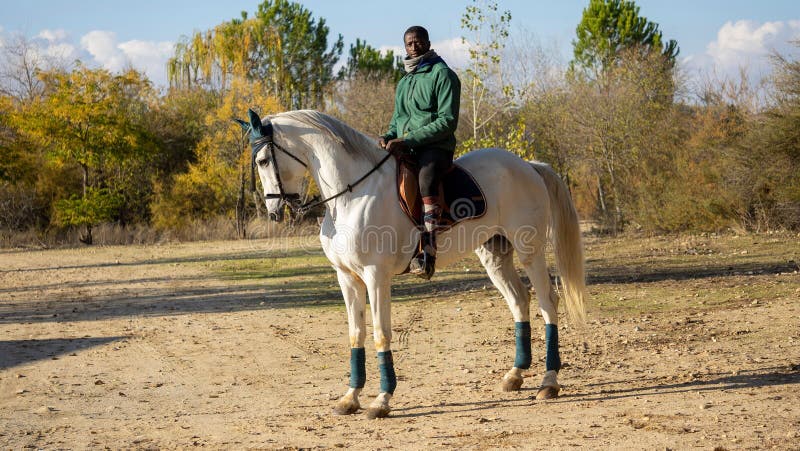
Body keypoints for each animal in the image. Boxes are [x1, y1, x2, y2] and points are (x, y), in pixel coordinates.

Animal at [237, 109, 587, 419]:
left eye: (263, 161)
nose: (274, 212)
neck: (351, 196)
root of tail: (527, 165)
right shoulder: (347, 277)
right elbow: (355, 334)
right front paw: (350, 398)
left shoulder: (376, 277)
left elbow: (380, 333)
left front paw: (381, 401)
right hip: (495, 256)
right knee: (519, 301)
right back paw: (515, 375)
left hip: (530, 251)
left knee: (547, 303)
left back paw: (549, 382)